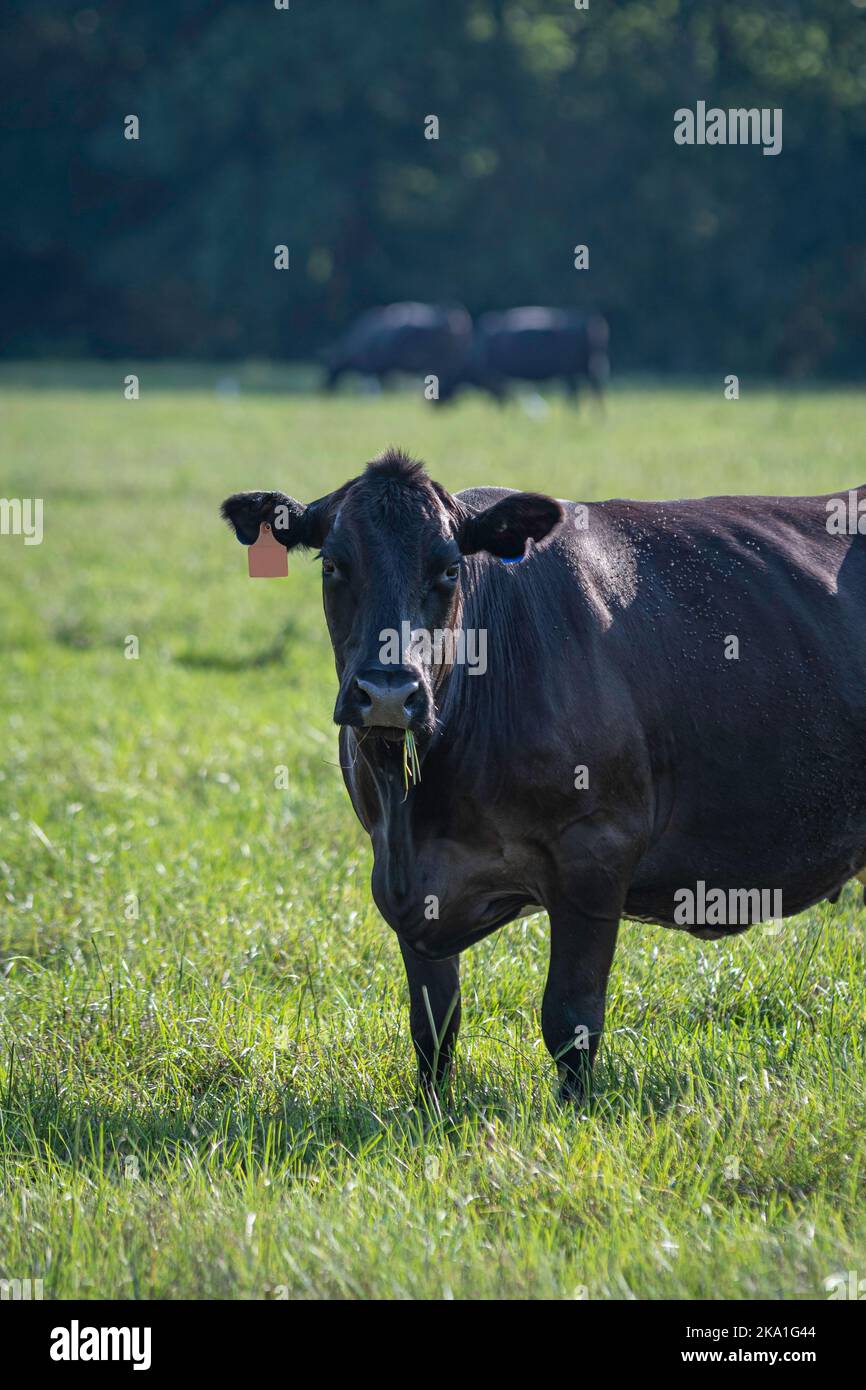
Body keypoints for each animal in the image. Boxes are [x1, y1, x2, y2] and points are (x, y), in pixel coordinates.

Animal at [221, 449, 866, 1102]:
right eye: (333, 564)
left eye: (450, 569)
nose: (387, 693)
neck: (419, 805)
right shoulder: (402, 882)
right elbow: (433, 1022)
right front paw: (431, 1108)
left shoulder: (597, 853)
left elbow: (570, 1018)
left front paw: (573, 1109)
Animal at [437, 307, 609, 403]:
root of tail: (590, 322)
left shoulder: (494, 379)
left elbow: (501, 400)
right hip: (591, 365)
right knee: (595, 389)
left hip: (571, 369)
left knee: (575, 392)